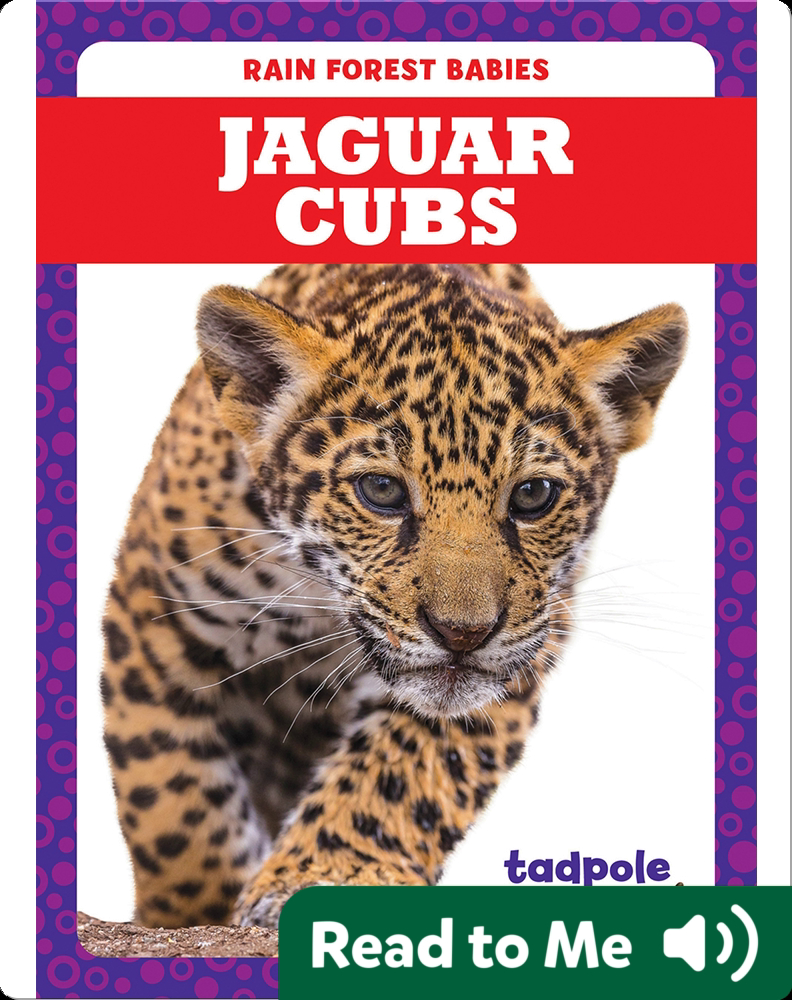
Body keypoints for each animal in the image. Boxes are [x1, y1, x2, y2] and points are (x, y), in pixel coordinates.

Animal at [100, 262, 687, 929]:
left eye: (533, 495)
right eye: (381, 490)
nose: (463, 634)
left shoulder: (525, 645)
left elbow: (401, 771)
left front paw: (328, 874)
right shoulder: (152, 620)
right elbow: (173, 798)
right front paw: (195, 909)